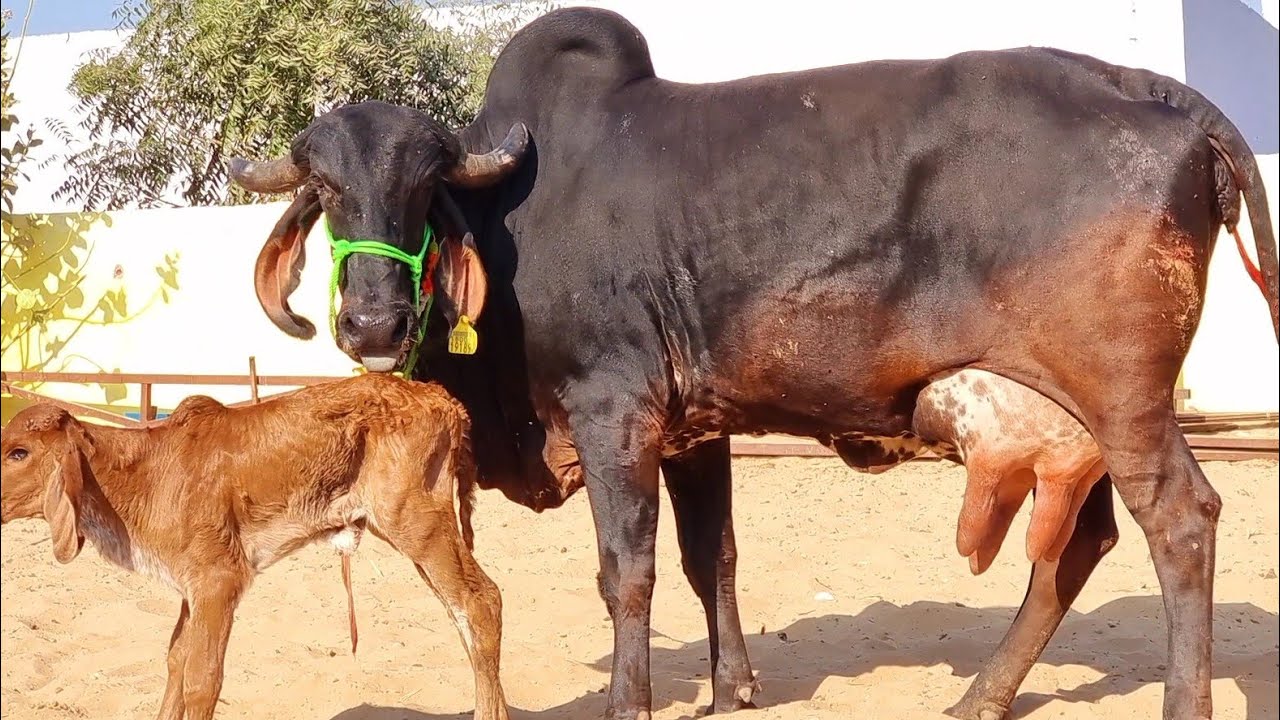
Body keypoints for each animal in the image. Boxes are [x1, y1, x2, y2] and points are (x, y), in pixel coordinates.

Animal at [226, 7, 1278, 720]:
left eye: (423, 187)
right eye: (324, 191)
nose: (371, 320)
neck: (515, 215)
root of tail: (1156, 92)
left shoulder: (613, 412)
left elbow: (629, 571)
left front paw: (631, 698)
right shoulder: (694, 429)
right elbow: (713, 556)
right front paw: (732, 684)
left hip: (1123, 401)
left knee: (1181, 521)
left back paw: (1174, 699)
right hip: (1070, 421)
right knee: (1080, 545)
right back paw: (982, 692)